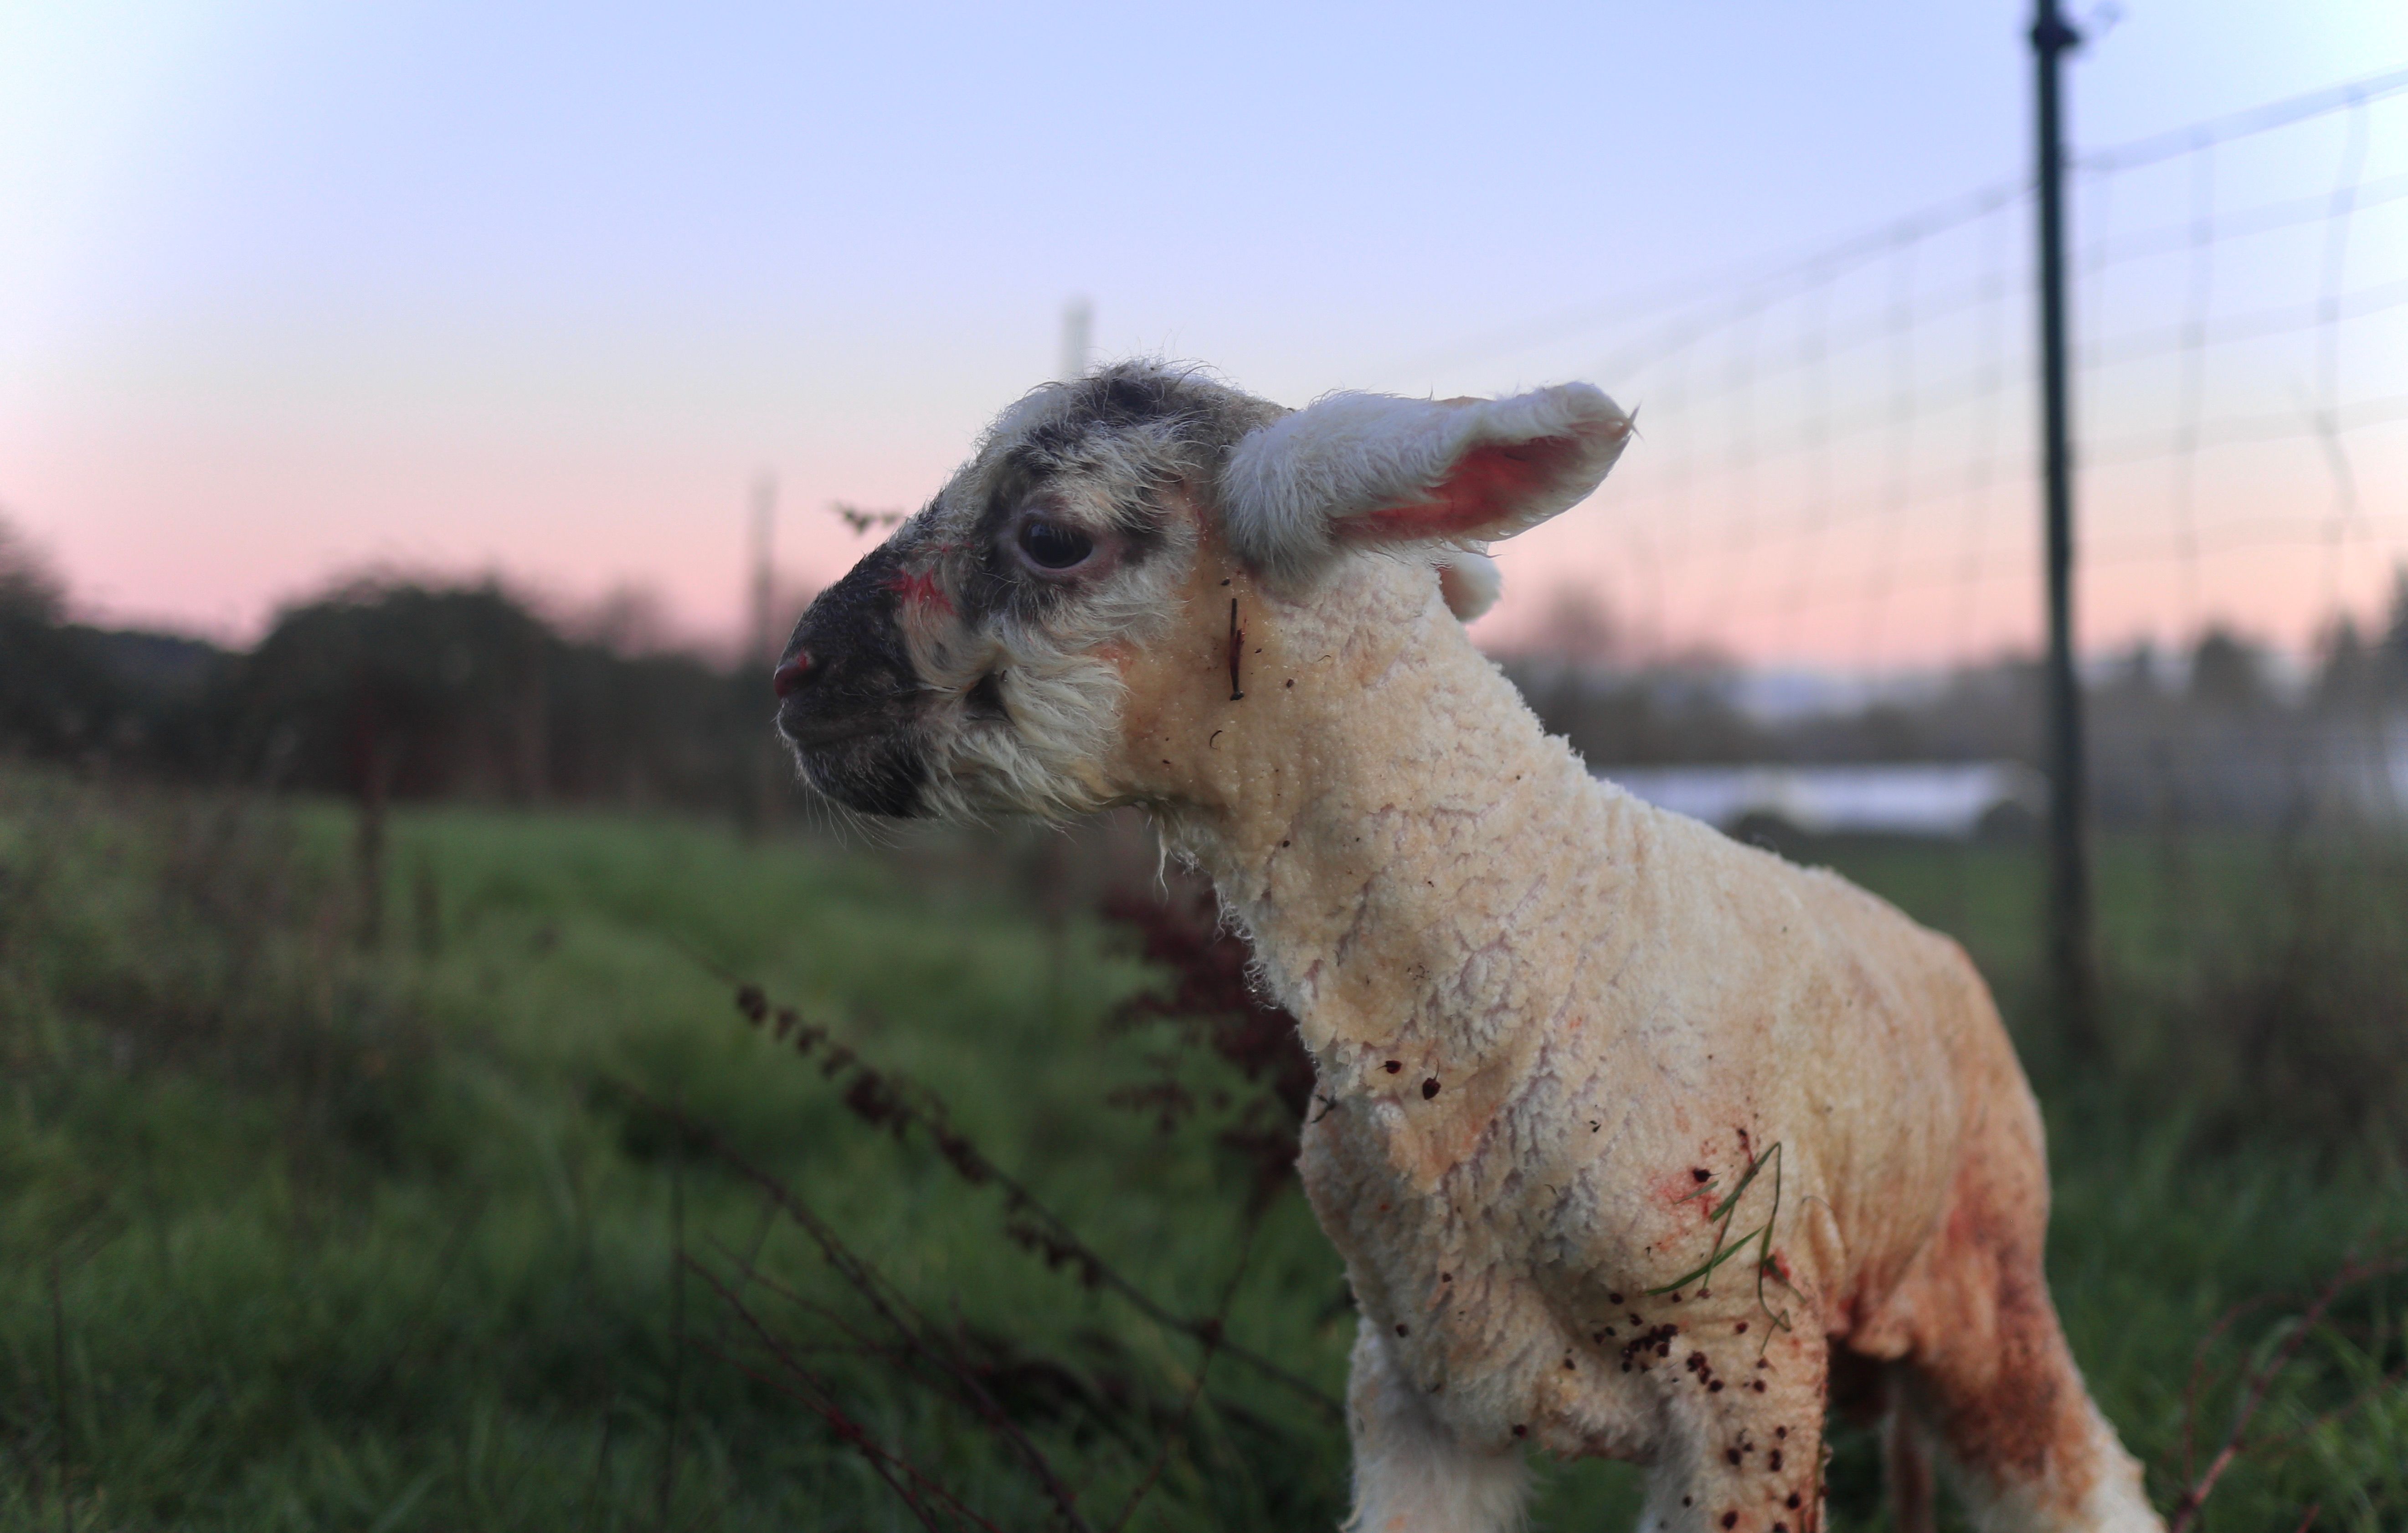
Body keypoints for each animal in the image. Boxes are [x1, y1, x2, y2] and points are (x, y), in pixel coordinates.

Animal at [772, 362, 2163, 1533]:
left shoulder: (1743, 1368)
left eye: (1053, 534)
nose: (793, 675)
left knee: (2081, 1478)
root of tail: (1923, 941)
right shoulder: (1415, 1378)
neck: (1518, 932)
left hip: (1987, 1283)